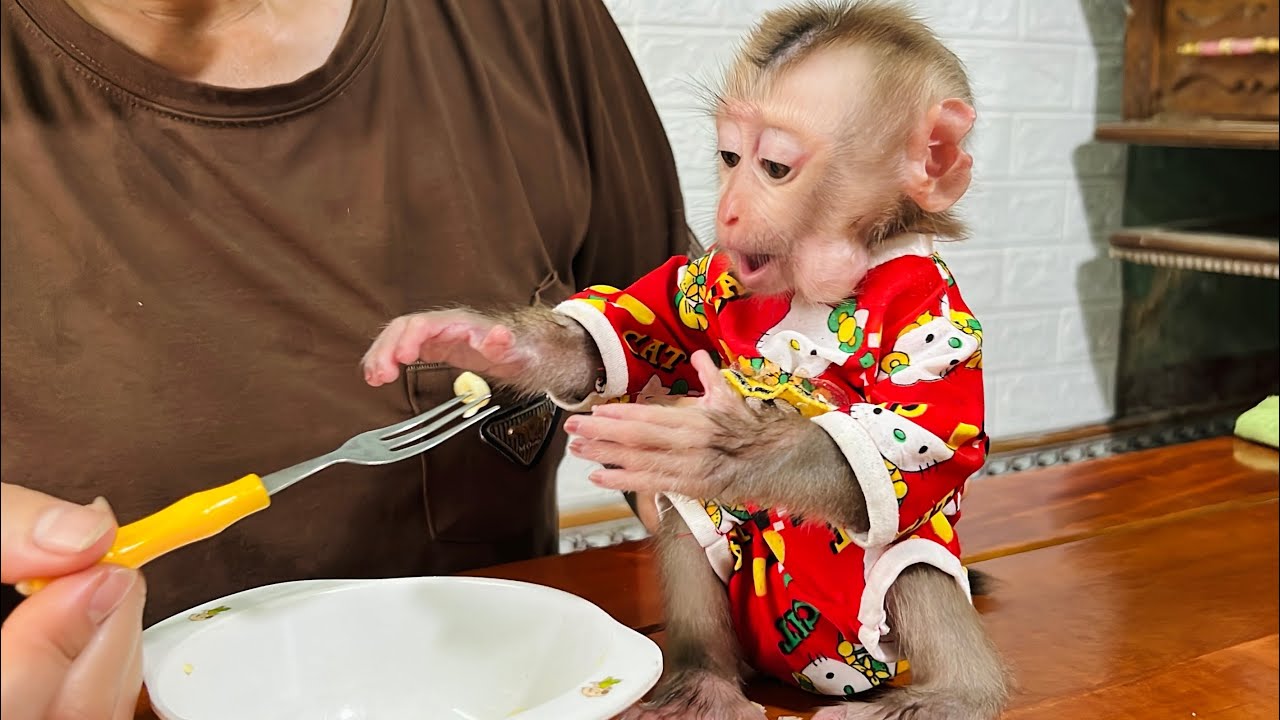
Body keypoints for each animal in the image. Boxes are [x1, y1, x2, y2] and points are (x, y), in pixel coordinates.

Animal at [361, 2, 1009, 719]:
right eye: (729, 157)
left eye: (774, 168)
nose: (729, 209)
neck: (817, 298)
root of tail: (802, 669)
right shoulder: (712, 278)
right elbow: (629, 332)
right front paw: (471, 339)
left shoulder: (932, 305)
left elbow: (905, 439)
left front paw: (724, 446)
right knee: (690, 516)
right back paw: (701, 678)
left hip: (875, 627)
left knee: (908, 553)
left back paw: (953, 694)